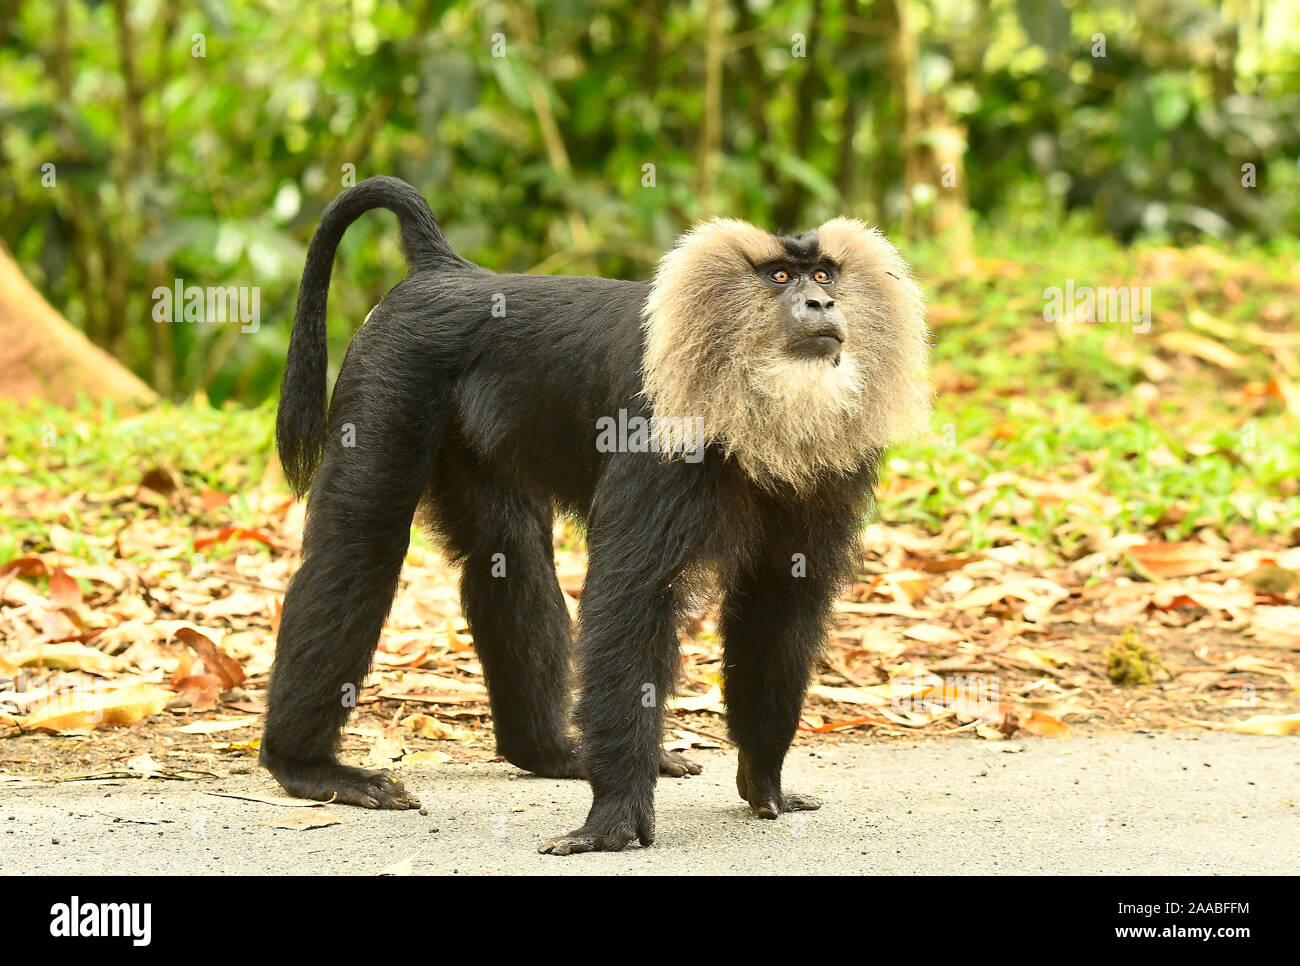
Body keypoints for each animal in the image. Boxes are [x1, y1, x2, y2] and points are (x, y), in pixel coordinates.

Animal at [261, 176, 930, 854]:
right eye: (778, 278)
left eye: (822, 274)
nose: (821, 305)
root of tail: (445, 271)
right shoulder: (658, 438)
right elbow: (631, 597)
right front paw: (615, 817)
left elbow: (780, 598)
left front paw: (763, 781)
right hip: (394, 374)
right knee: (360, 545)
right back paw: (307, 767)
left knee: (506, 550)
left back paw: (549, 752)